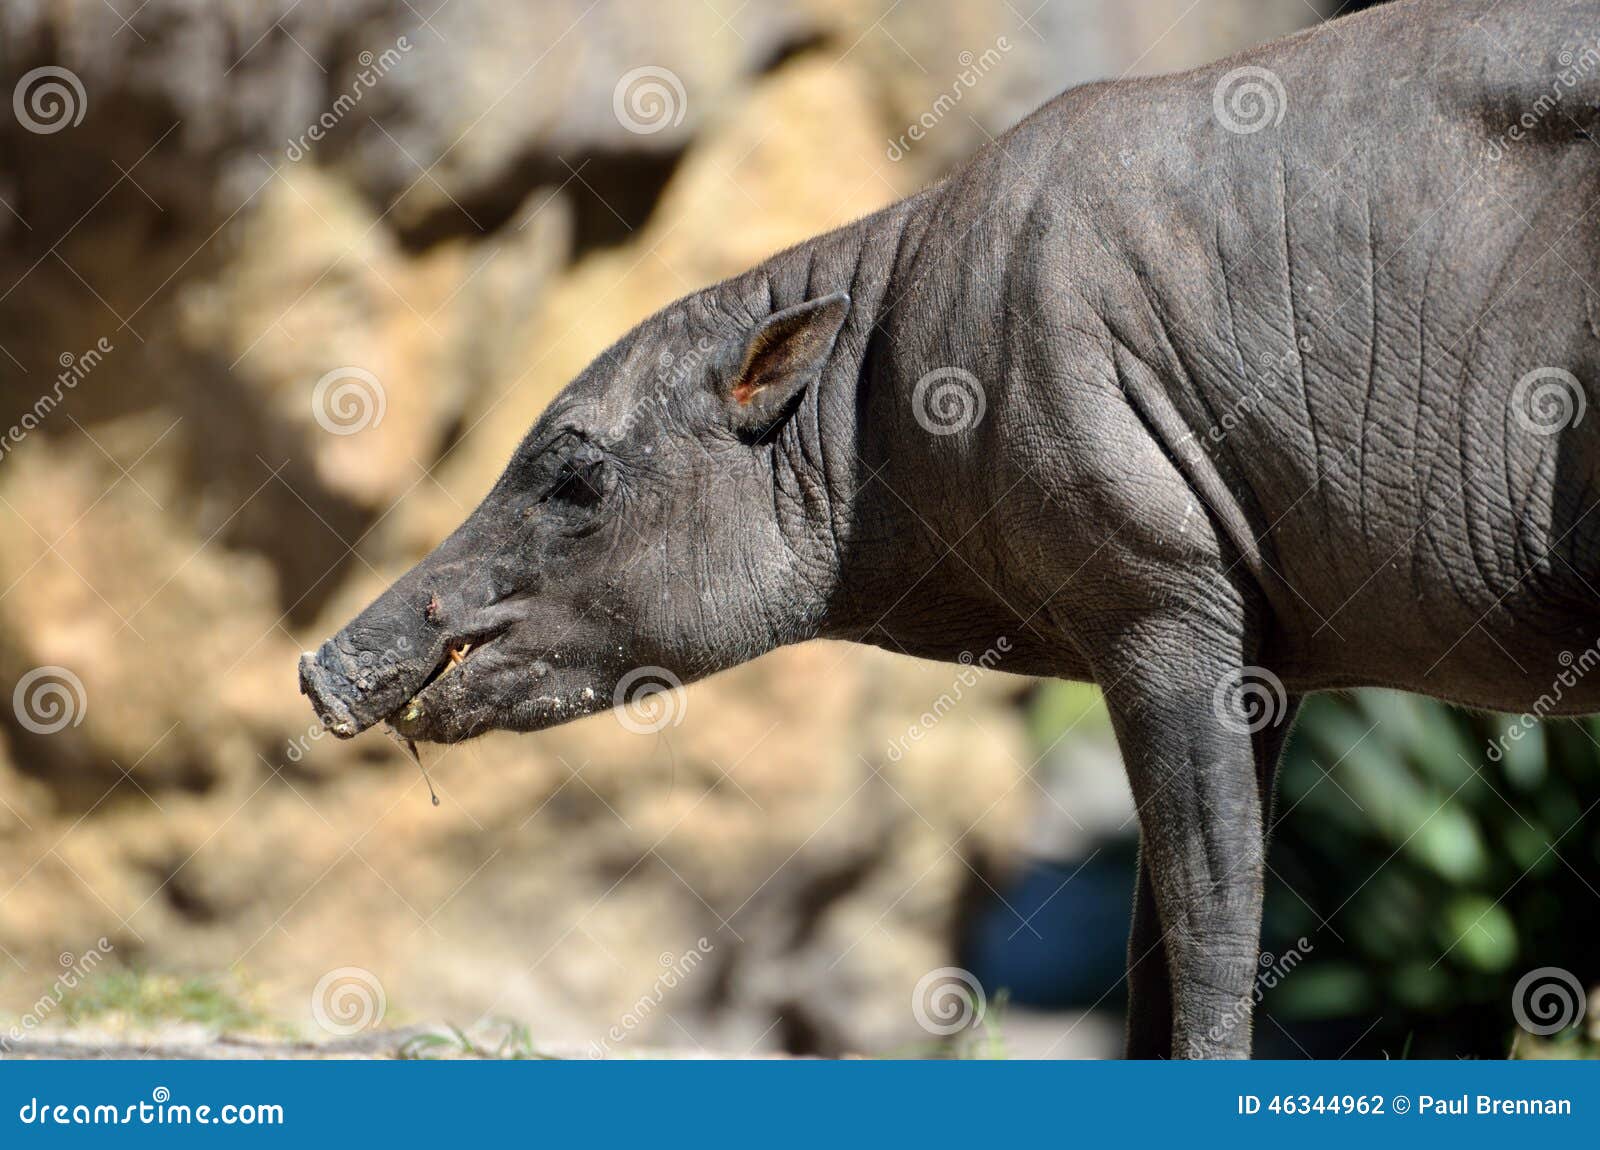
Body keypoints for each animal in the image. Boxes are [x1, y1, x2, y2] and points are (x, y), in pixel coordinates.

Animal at [303, 0, 1600, 1056]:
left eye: (577, 477)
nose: (321, 670)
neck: (875, 389)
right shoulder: (1258, 640)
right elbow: (1157, 925)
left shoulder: (1157, 588)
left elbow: (1209, 899)